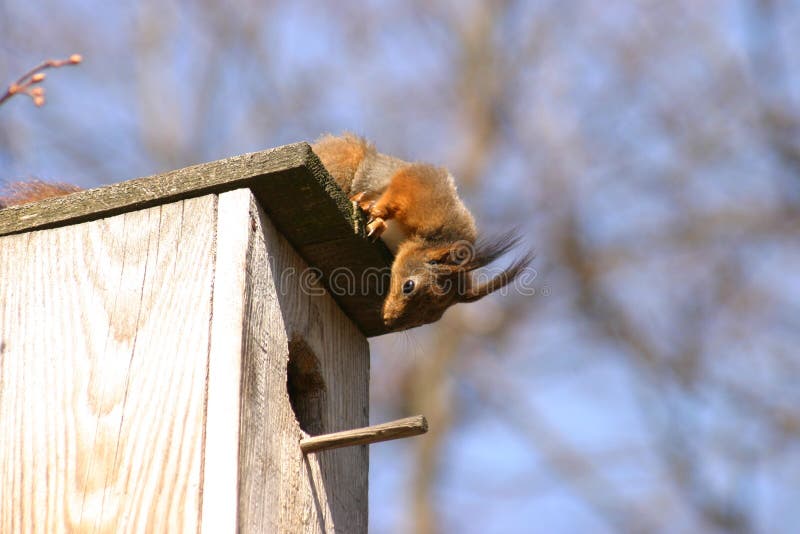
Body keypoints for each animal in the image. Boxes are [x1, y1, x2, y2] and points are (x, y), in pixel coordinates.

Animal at [312, 133, 532, 331]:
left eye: (426, 320)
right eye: (408, 286)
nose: (388, 320)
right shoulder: (423, 190)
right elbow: (399, 190)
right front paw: (375, 212)